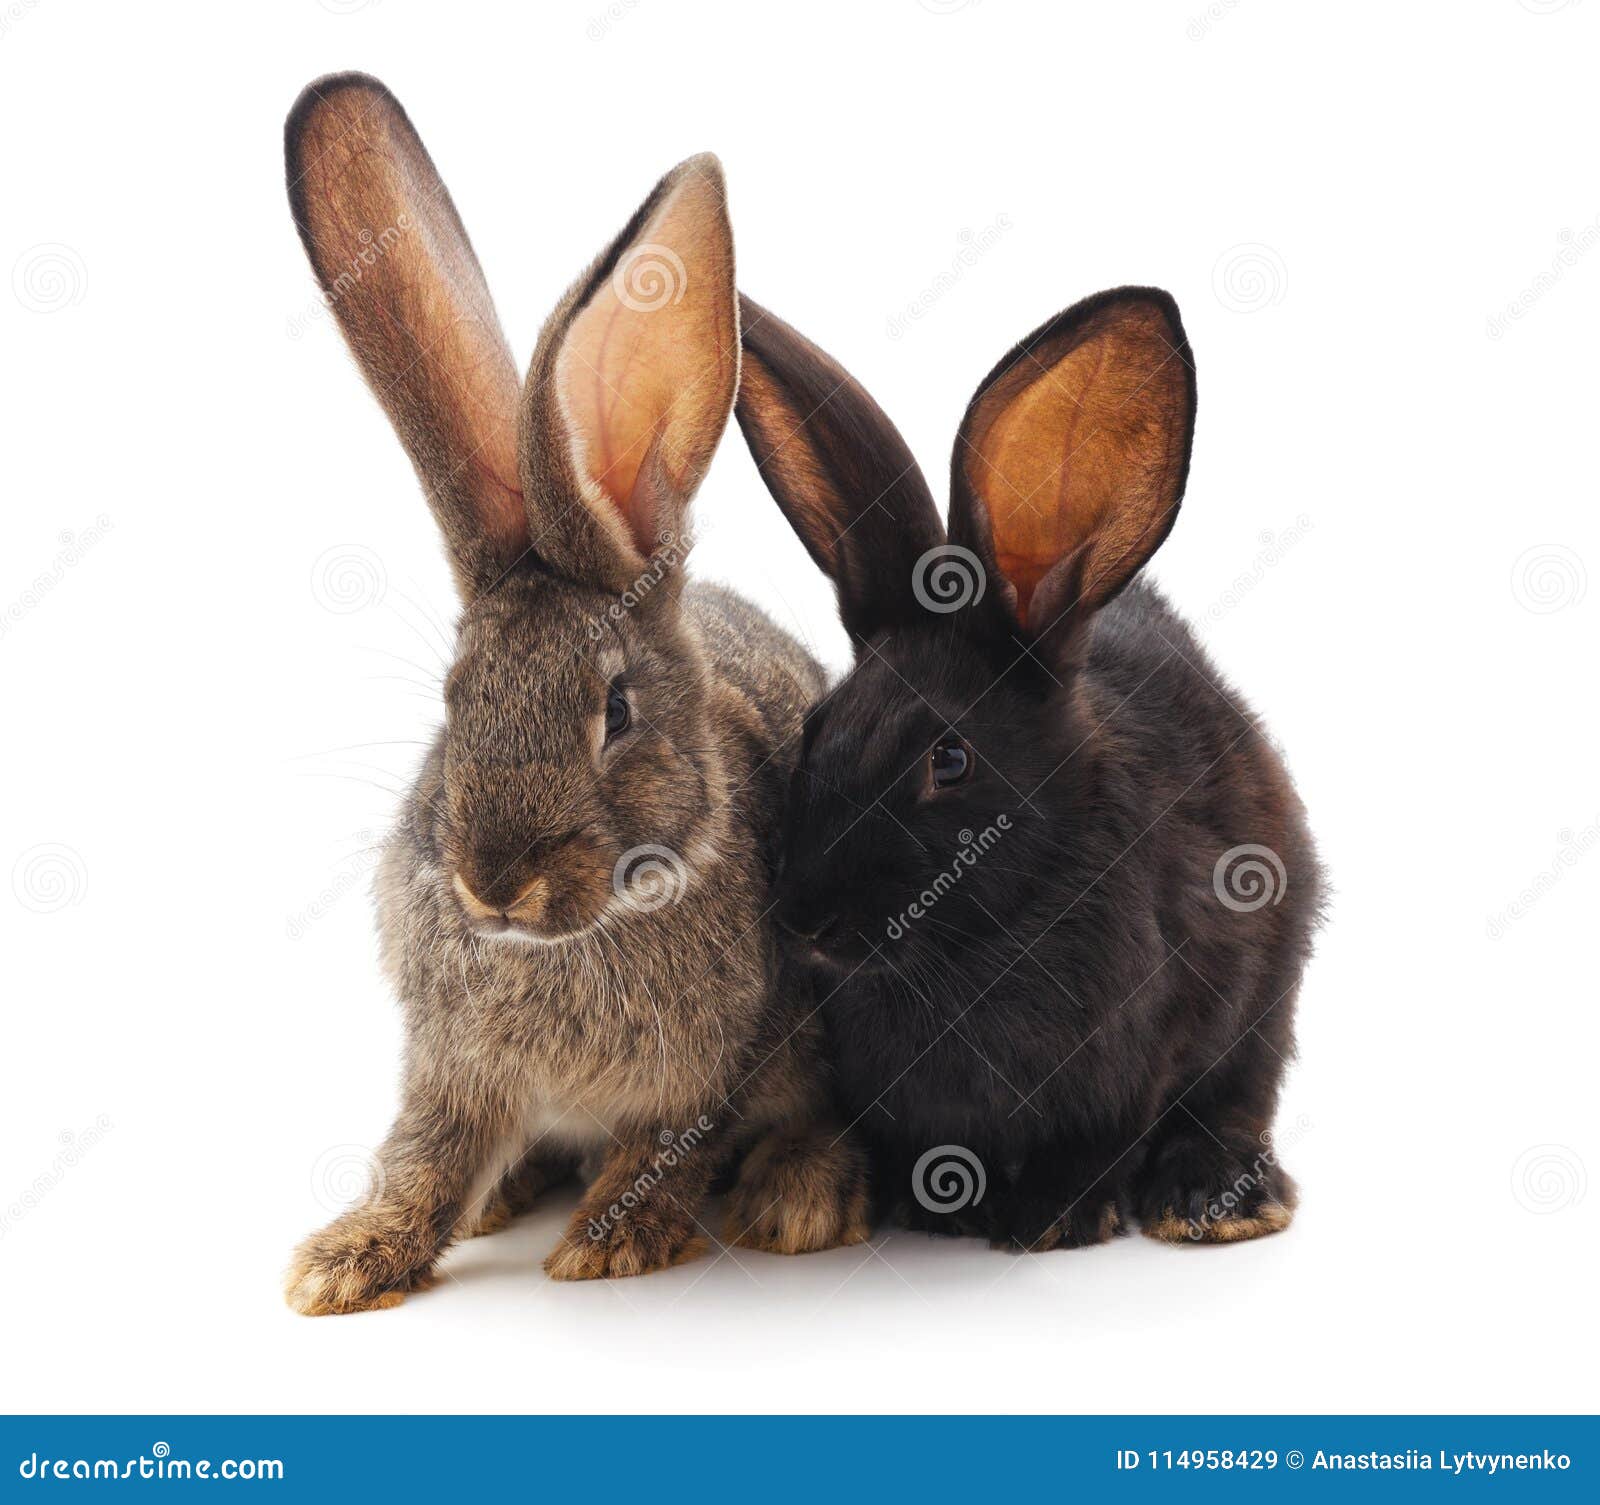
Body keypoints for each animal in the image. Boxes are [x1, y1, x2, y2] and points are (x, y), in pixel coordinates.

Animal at [280, 75, 866, 1314]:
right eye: (454, 698)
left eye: (618, 712)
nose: (493, 881)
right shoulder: (452, 1071)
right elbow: (424, 1155)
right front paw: (346, 1260)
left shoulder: (710, 1073)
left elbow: (663, 1149)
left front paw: (608, 1241)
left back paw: (797, 1197)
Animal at [732, 284, 1323, 1252]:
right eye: (818, 726)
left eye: (950, 758)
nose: (806, 922)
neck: (967, 950)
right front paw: (934, 1208)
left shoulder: (1148, 1043)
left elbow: (1100, 1140)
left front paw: (1048, 1220)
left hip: (1272, 990)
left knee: (1241, 1097)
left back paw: (1214, 1197)